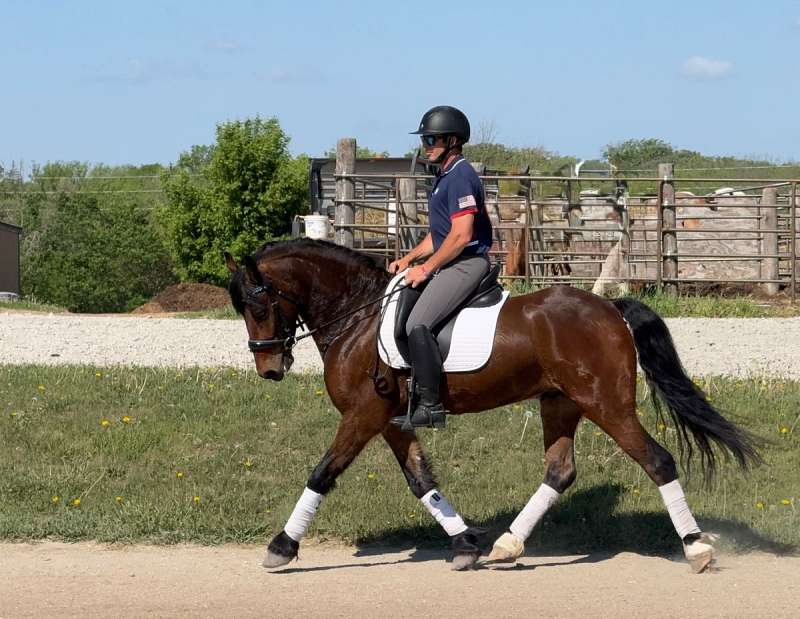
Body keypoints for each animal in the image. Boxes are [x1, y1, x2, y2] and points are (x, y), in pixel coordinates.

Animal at [225, 238, 760, 572]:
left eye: (258, 306)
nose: (270, 368)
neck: (357, 317)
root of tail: (609, 307)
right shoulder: (391, 421)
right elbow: (422, 481)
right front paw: (465, 544)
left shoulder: (363, 415)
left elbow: (322, 473)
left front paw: (281, 547)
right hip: (560, 404)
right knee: (560, 471)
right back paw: (506, 545)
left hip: (607, 405)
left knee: (657, 460)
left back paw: (695, 549)